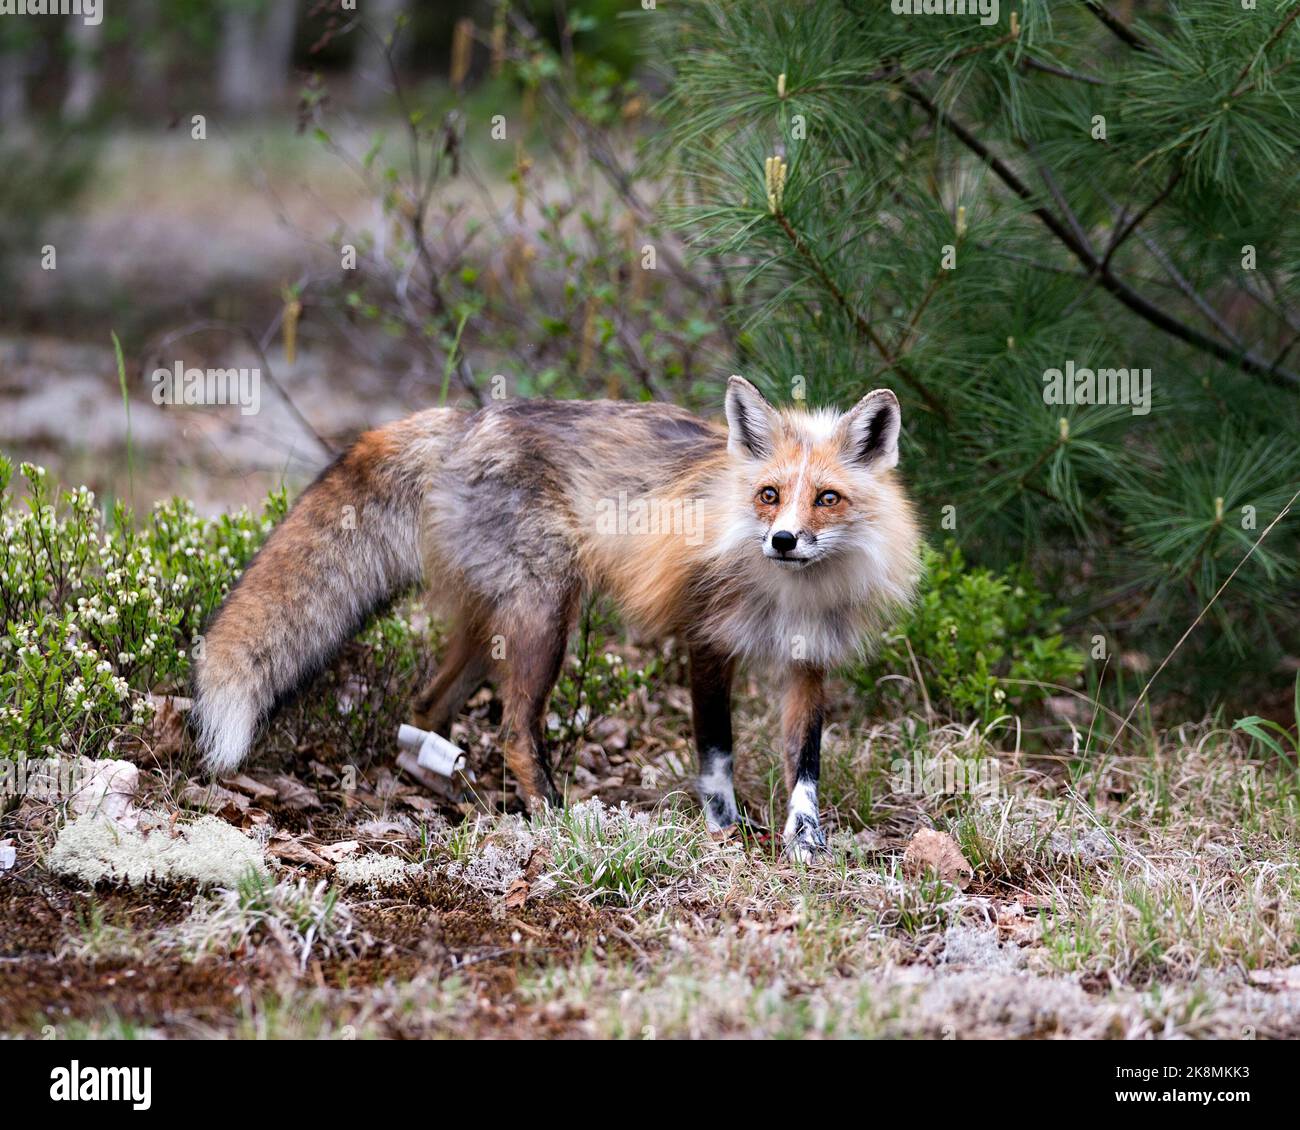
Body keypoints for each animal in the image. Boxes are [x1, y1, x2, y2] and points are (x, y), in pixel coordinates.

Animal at [191, 377, 920, 859]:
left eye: (827, 498)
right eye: (769, 495)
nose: (784, 541)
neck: (787, 592)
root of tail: (464, 419)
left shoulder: (808, 663)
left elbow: (806, 765)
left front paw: (806, 843)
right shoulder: (706, 639)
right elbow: (717, 753)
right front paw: (726, 833)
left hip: (495, 631)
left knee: (425, 706)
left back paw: (457, 796)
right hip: (546, 617)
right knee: (514, 730)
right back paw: (552, 817)